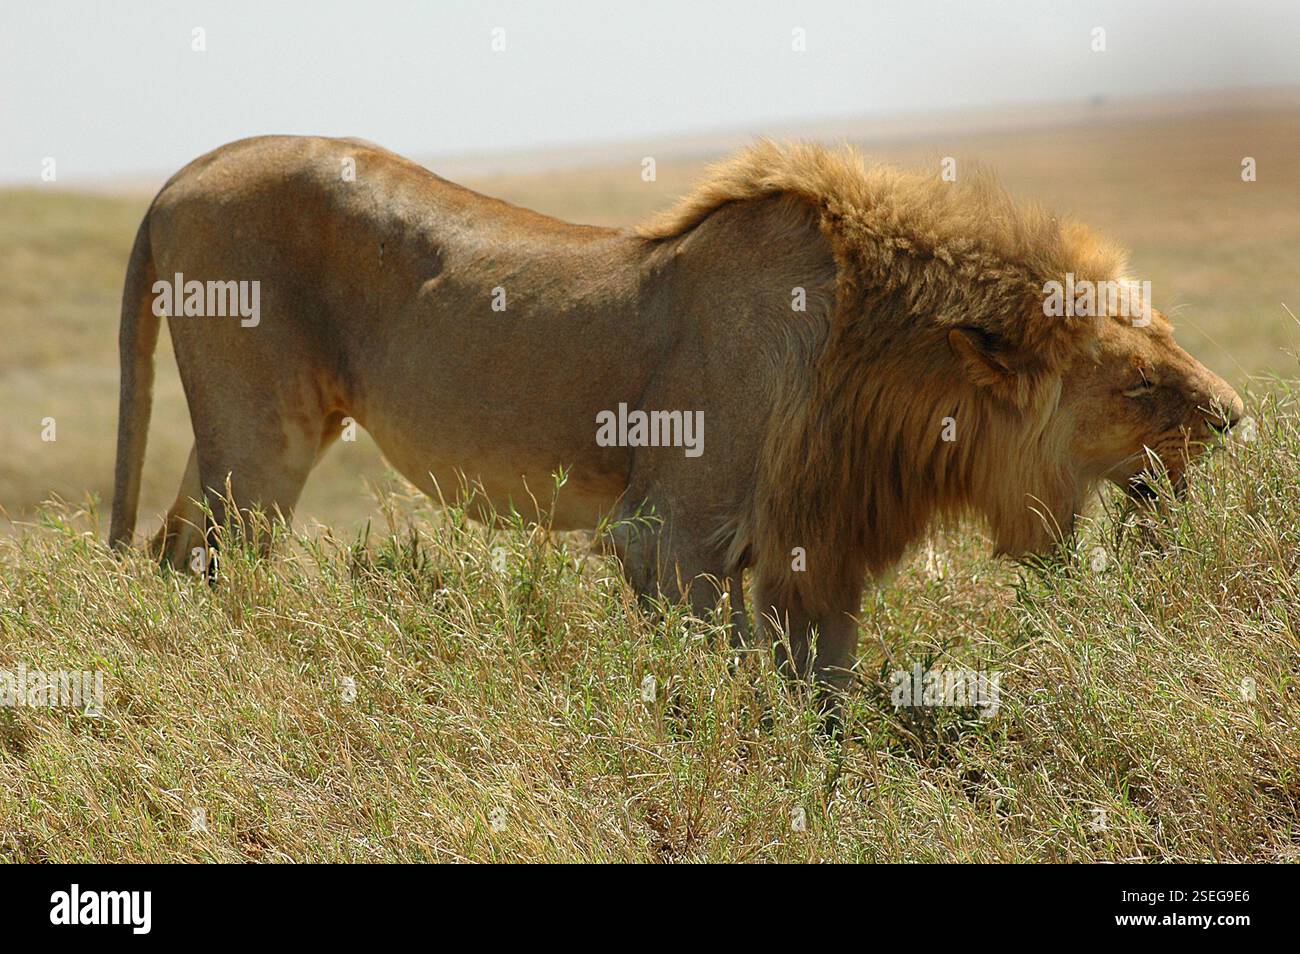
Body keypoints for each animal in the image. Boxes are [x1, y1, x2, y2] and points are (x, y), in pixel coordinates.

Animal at [110, 136, 1243, 690]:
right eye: (1138, 384)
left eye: (1166, 331)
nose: (1236, 417)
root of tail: (179, 175)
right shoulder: (670, 534)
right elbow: (712, 678)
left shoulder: (810, 548)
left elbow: (819, 688)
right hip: (263, 438)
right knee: (208, 562)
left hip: (237, 441)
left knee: (175, 550)